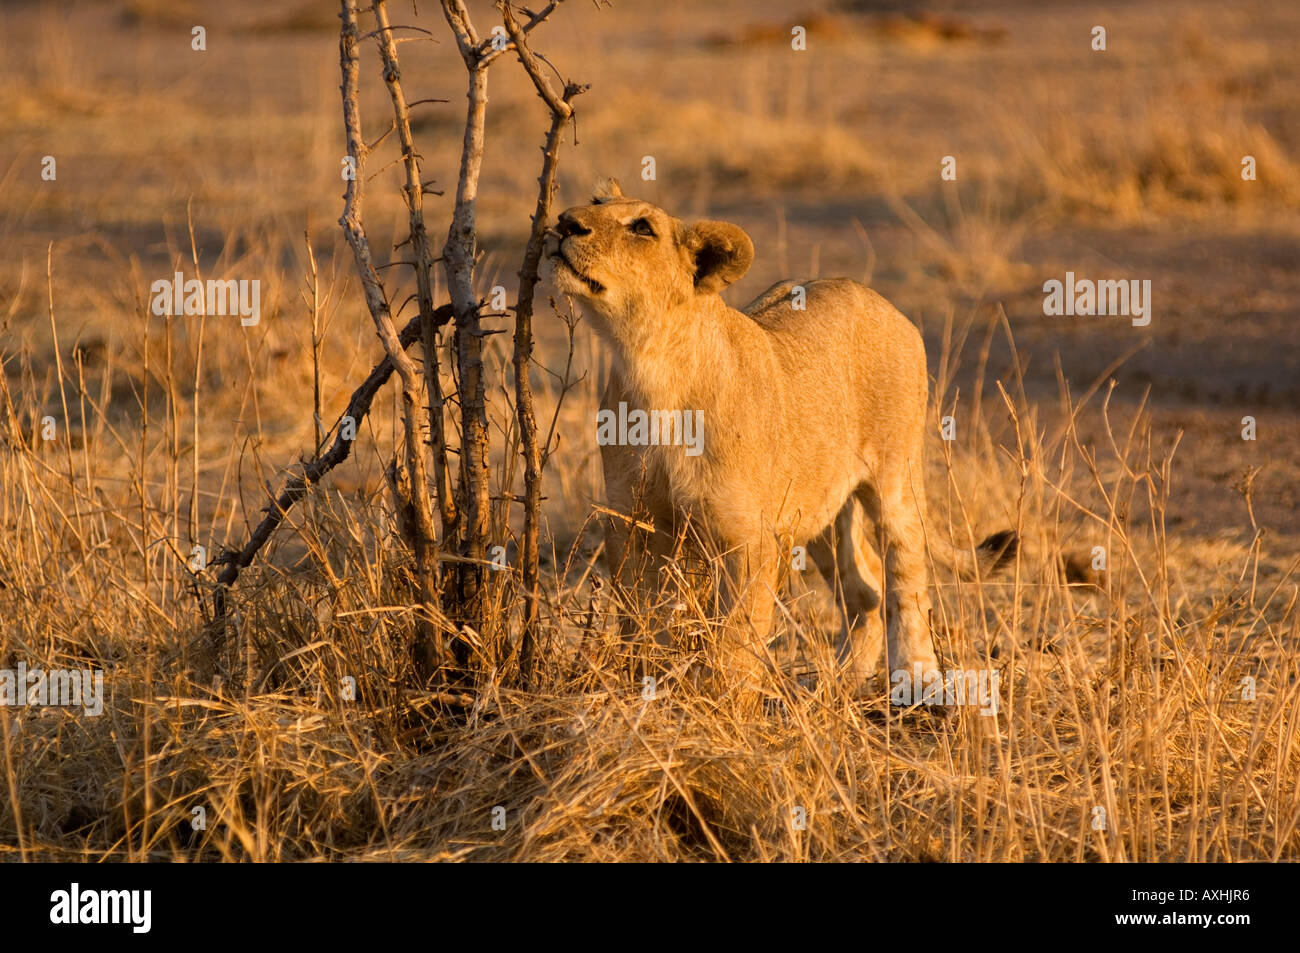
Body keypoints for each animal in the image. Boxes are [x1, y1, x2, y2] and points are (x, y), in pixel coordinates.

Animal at [542, 179, 1017, 702]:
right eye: (595, 204)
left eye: (642, 228)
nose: (565, 222)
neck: (650, 366)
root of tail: (877, 298)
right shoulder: (632, 523)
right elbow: (643, 622)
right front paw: (649, 689)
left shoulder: (748, 539)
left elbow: (736, 639)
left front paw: (726, 706)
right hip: (818, 507)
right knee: (866, 592)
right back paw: (835, 684)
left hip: (894, 479)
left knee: (904, 576)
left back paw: (918, 679)